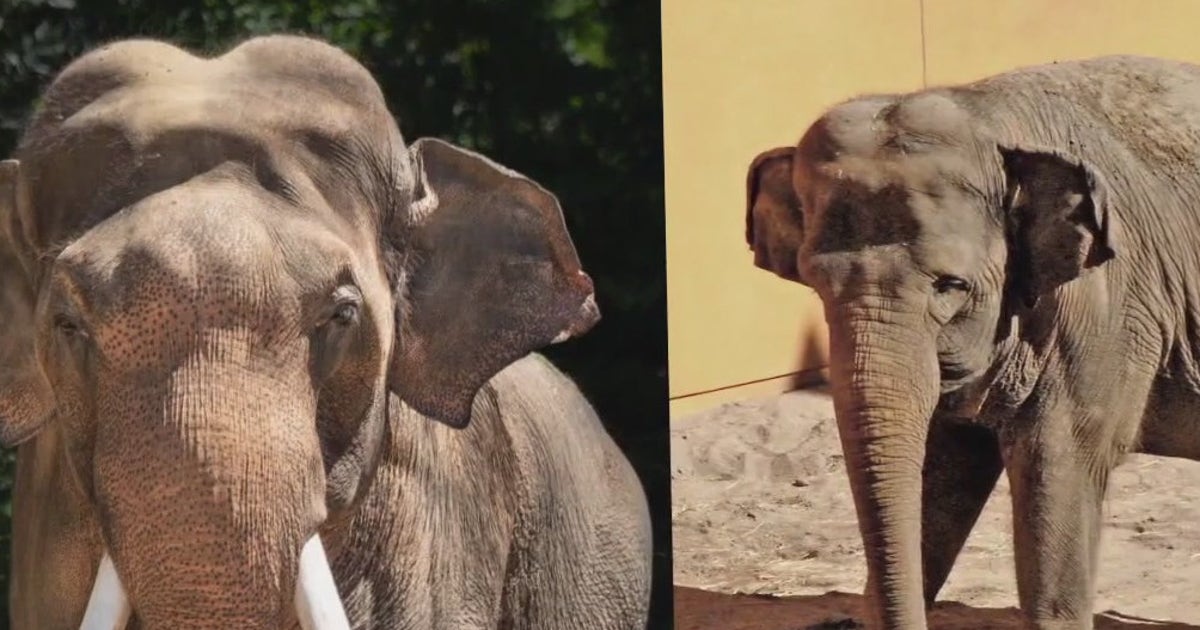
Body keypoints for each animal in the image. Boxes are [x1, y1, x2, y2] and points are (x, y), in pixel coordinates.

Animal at [745, 55, 1200, 629]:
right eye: (815, 283)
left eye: (950, 285)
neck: (986, 113)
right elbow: (942, 474)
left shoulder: (1108, 310)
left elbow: (1059, 463)